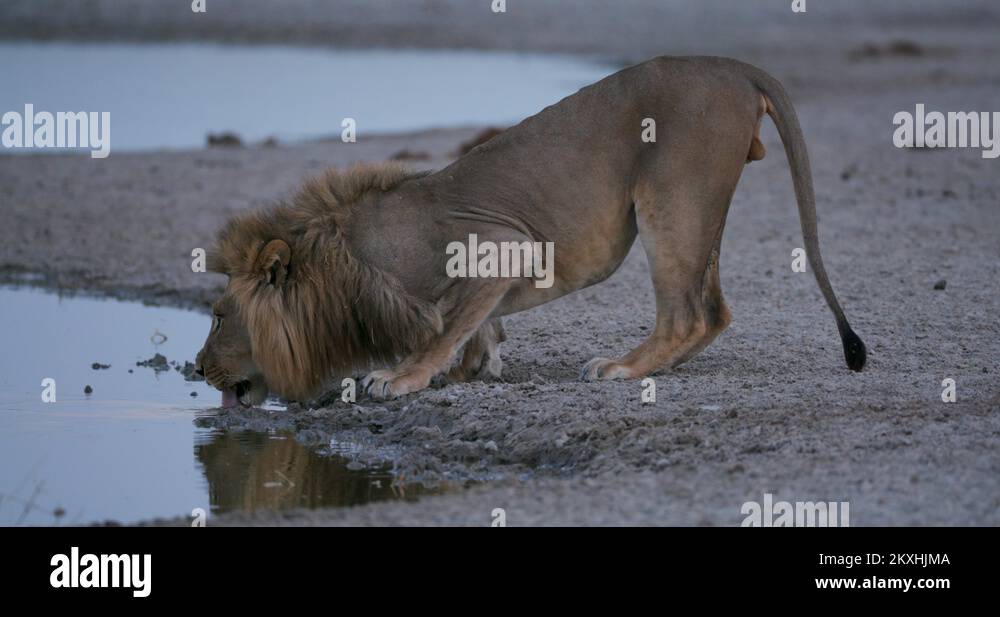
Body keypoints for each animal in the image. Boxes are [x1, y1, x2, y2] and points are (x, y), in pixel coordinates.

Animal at [195, 56, 866, 405]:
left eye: (220, 318)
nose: (198, 370)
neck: (344, 259)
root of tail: (735, 65)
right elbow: (471, 322)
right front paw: (470, 367)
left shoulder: (505, 245)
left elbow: (444, 325)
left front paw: (402, 376)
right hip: (700, 210)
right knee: (715, 309)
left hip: (671, 199)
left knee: (687, 314)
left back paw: (624, 369)